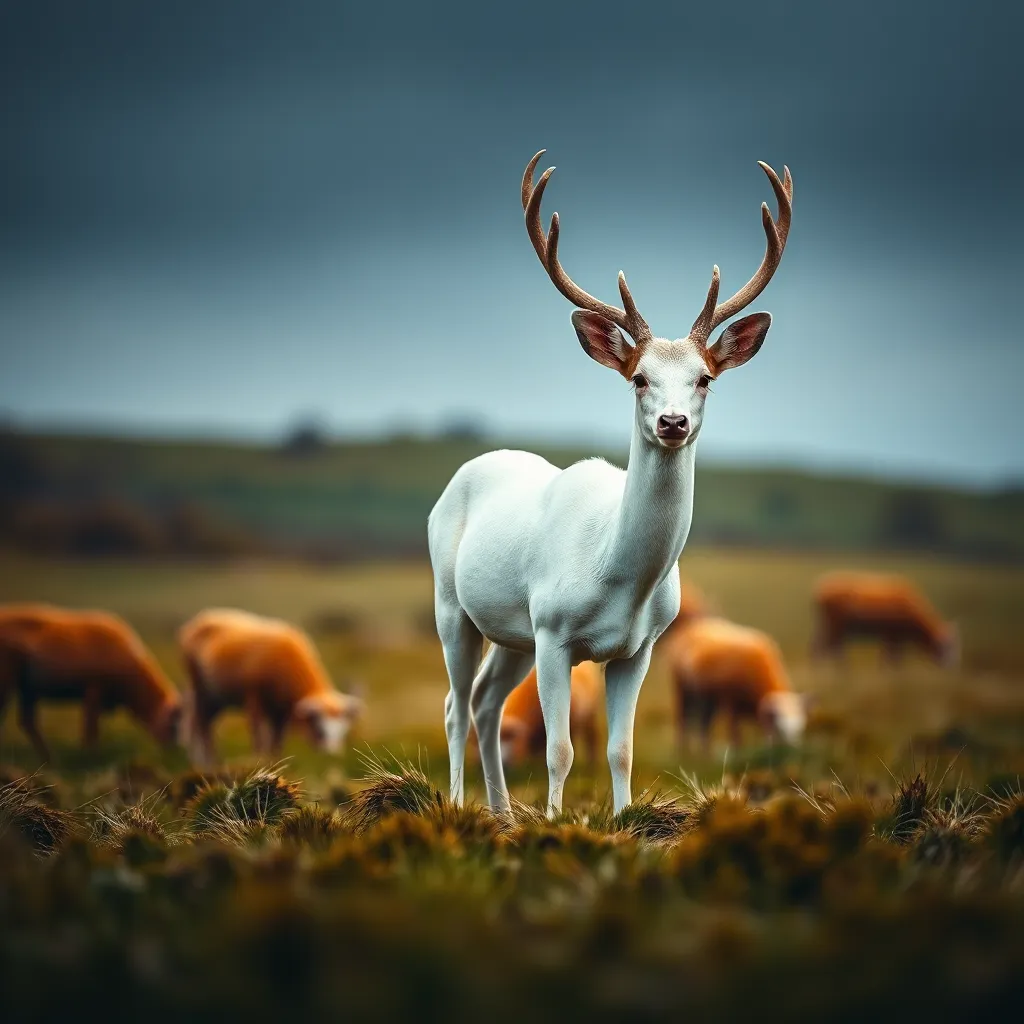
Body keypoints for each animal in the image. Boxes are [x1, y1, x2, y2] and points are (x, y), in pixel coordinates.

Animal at [427, 150, 793, 815]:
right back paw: (462, 804)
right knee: (453, 705)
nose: (672, 423)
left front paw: (623, 819)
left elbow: (620, 750)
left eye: (705, 378)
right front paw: (553, 821)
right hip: (454, 605)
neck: (615, 573)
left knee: (486, 703)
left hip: (511, 633)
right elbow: (559, 750)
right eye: (640, 377)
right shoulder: (552, 630)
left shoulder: (640, 647)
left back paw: (500, 811)